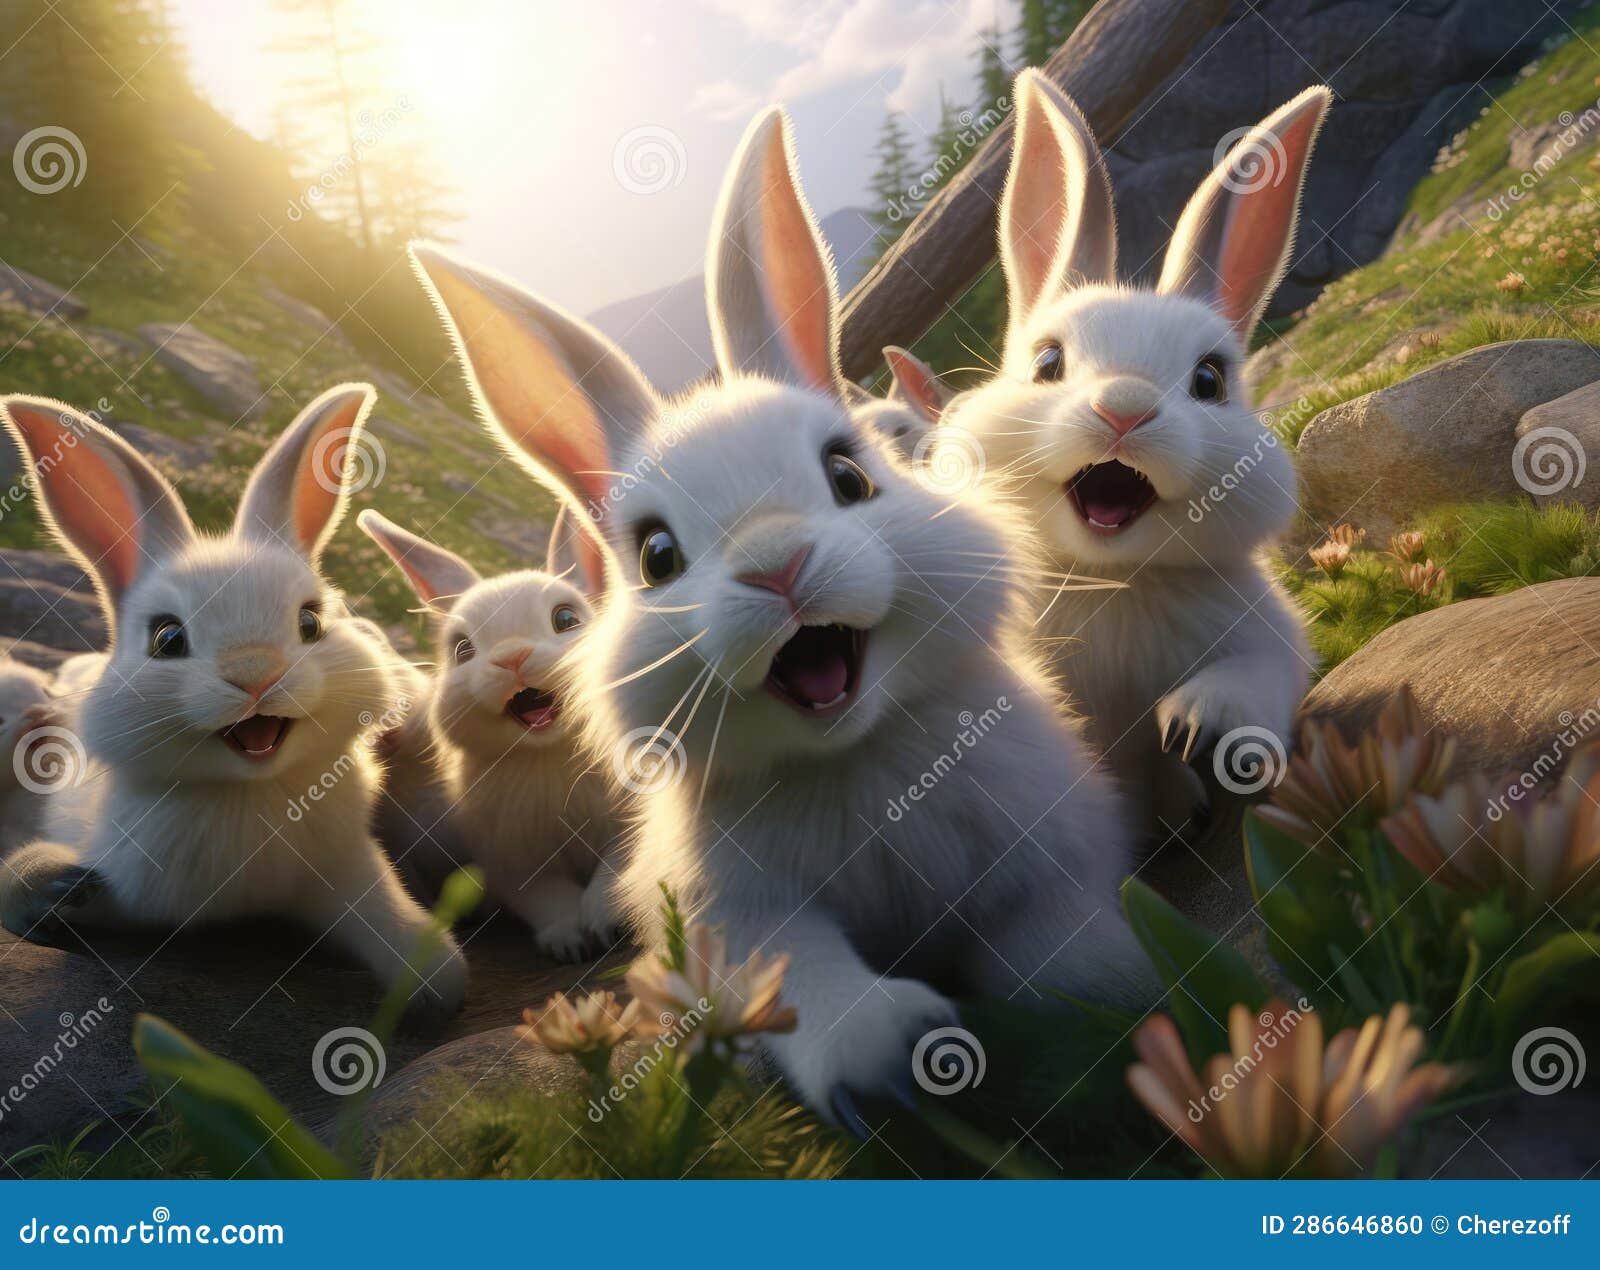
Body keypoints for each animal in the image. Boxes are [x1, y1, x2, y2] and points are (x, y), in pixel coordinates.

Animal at [0, 386, 467, 1021]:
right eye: (167, 638)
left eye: (311, 622)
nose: (255, 675)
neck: (249, 794)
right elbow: (19, 881)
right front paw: (56, 887)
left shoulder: (345, 867)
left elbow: (401, 935)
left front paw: (434, 981)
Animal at [357, 507, 622, 961]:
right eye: (463, 649)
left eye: (566, 619)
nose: (512, 658)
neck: (547, 755)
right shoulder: (512, 863)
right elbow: (548, 898)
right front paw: (570, 943)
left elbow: (617, 871)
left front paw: (605, 923)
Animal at [409, 104, 1155, 1129]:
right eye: (656, 556)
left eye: (849, 475)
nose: (777, 567)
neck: (853, 754)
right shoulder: (743, 915)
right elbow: (803, 977)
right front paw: (891, 1051)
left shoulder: (1050, 860)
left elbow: (1059, 950)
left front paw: (1110, 1011)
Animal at [938, 69, 1328, 845]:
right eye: (1048, 362)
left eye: (1209, 380)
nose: (1124, 407)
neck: (1111, 579)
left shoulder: (1272, 646)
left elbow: (1256, 682)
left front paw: (1197, 727)